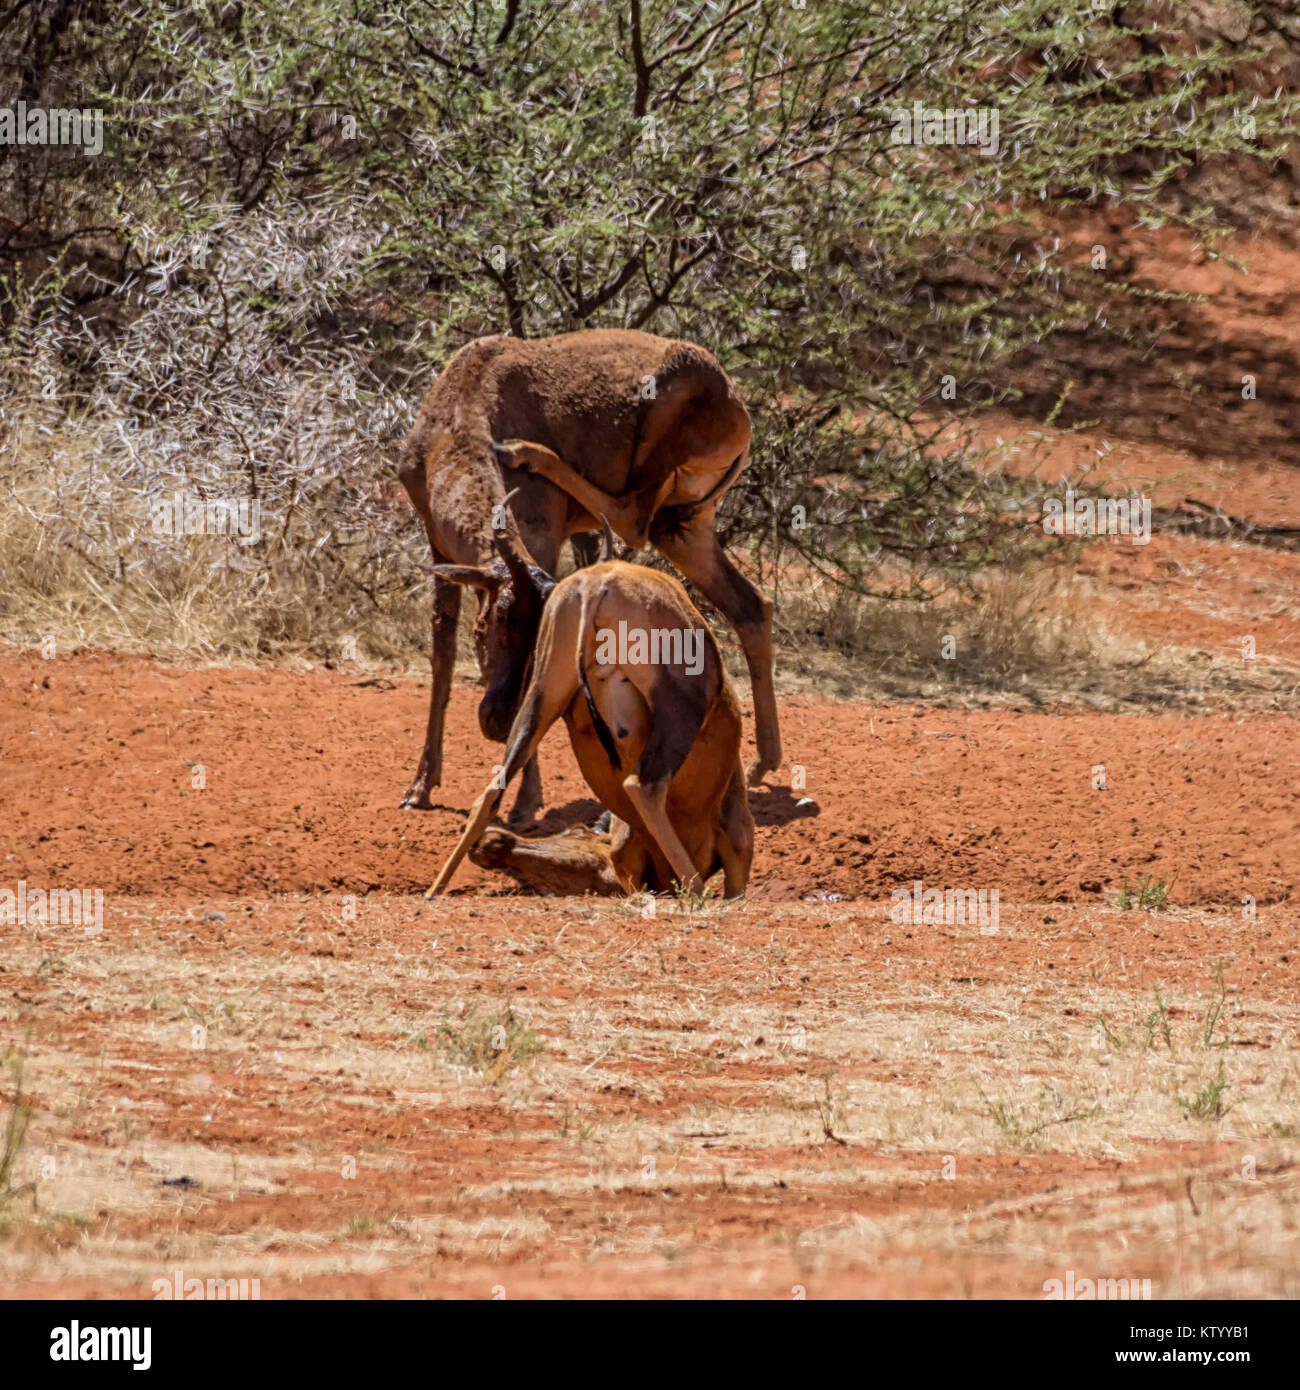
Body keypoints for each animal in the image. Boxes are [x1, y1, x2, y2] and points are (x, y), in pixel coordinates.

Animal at [397, 328, 780, 823]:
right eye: (493, 623)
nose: (496, 721)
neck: (472, 391)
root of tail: (734, 400)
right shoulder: (438, 543)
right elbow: (441, 654)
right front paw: (420, 787)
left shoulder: (540, 535)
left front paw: (524, 803)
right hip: (683, 527)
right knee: (751, 606)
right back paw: (761, 764)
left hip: (654, 494)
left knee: (628, 517)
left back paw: (525, 452)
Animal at [426, 524, 754, 899]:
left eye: (504, 617)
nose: (493, 715)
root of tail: (595, 584)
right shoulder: (737, 846)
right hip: (681, 706)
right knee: (643, 785)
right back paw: (697, 892)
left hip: (542, 699)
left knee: (490, 791)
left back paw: (433, 890)